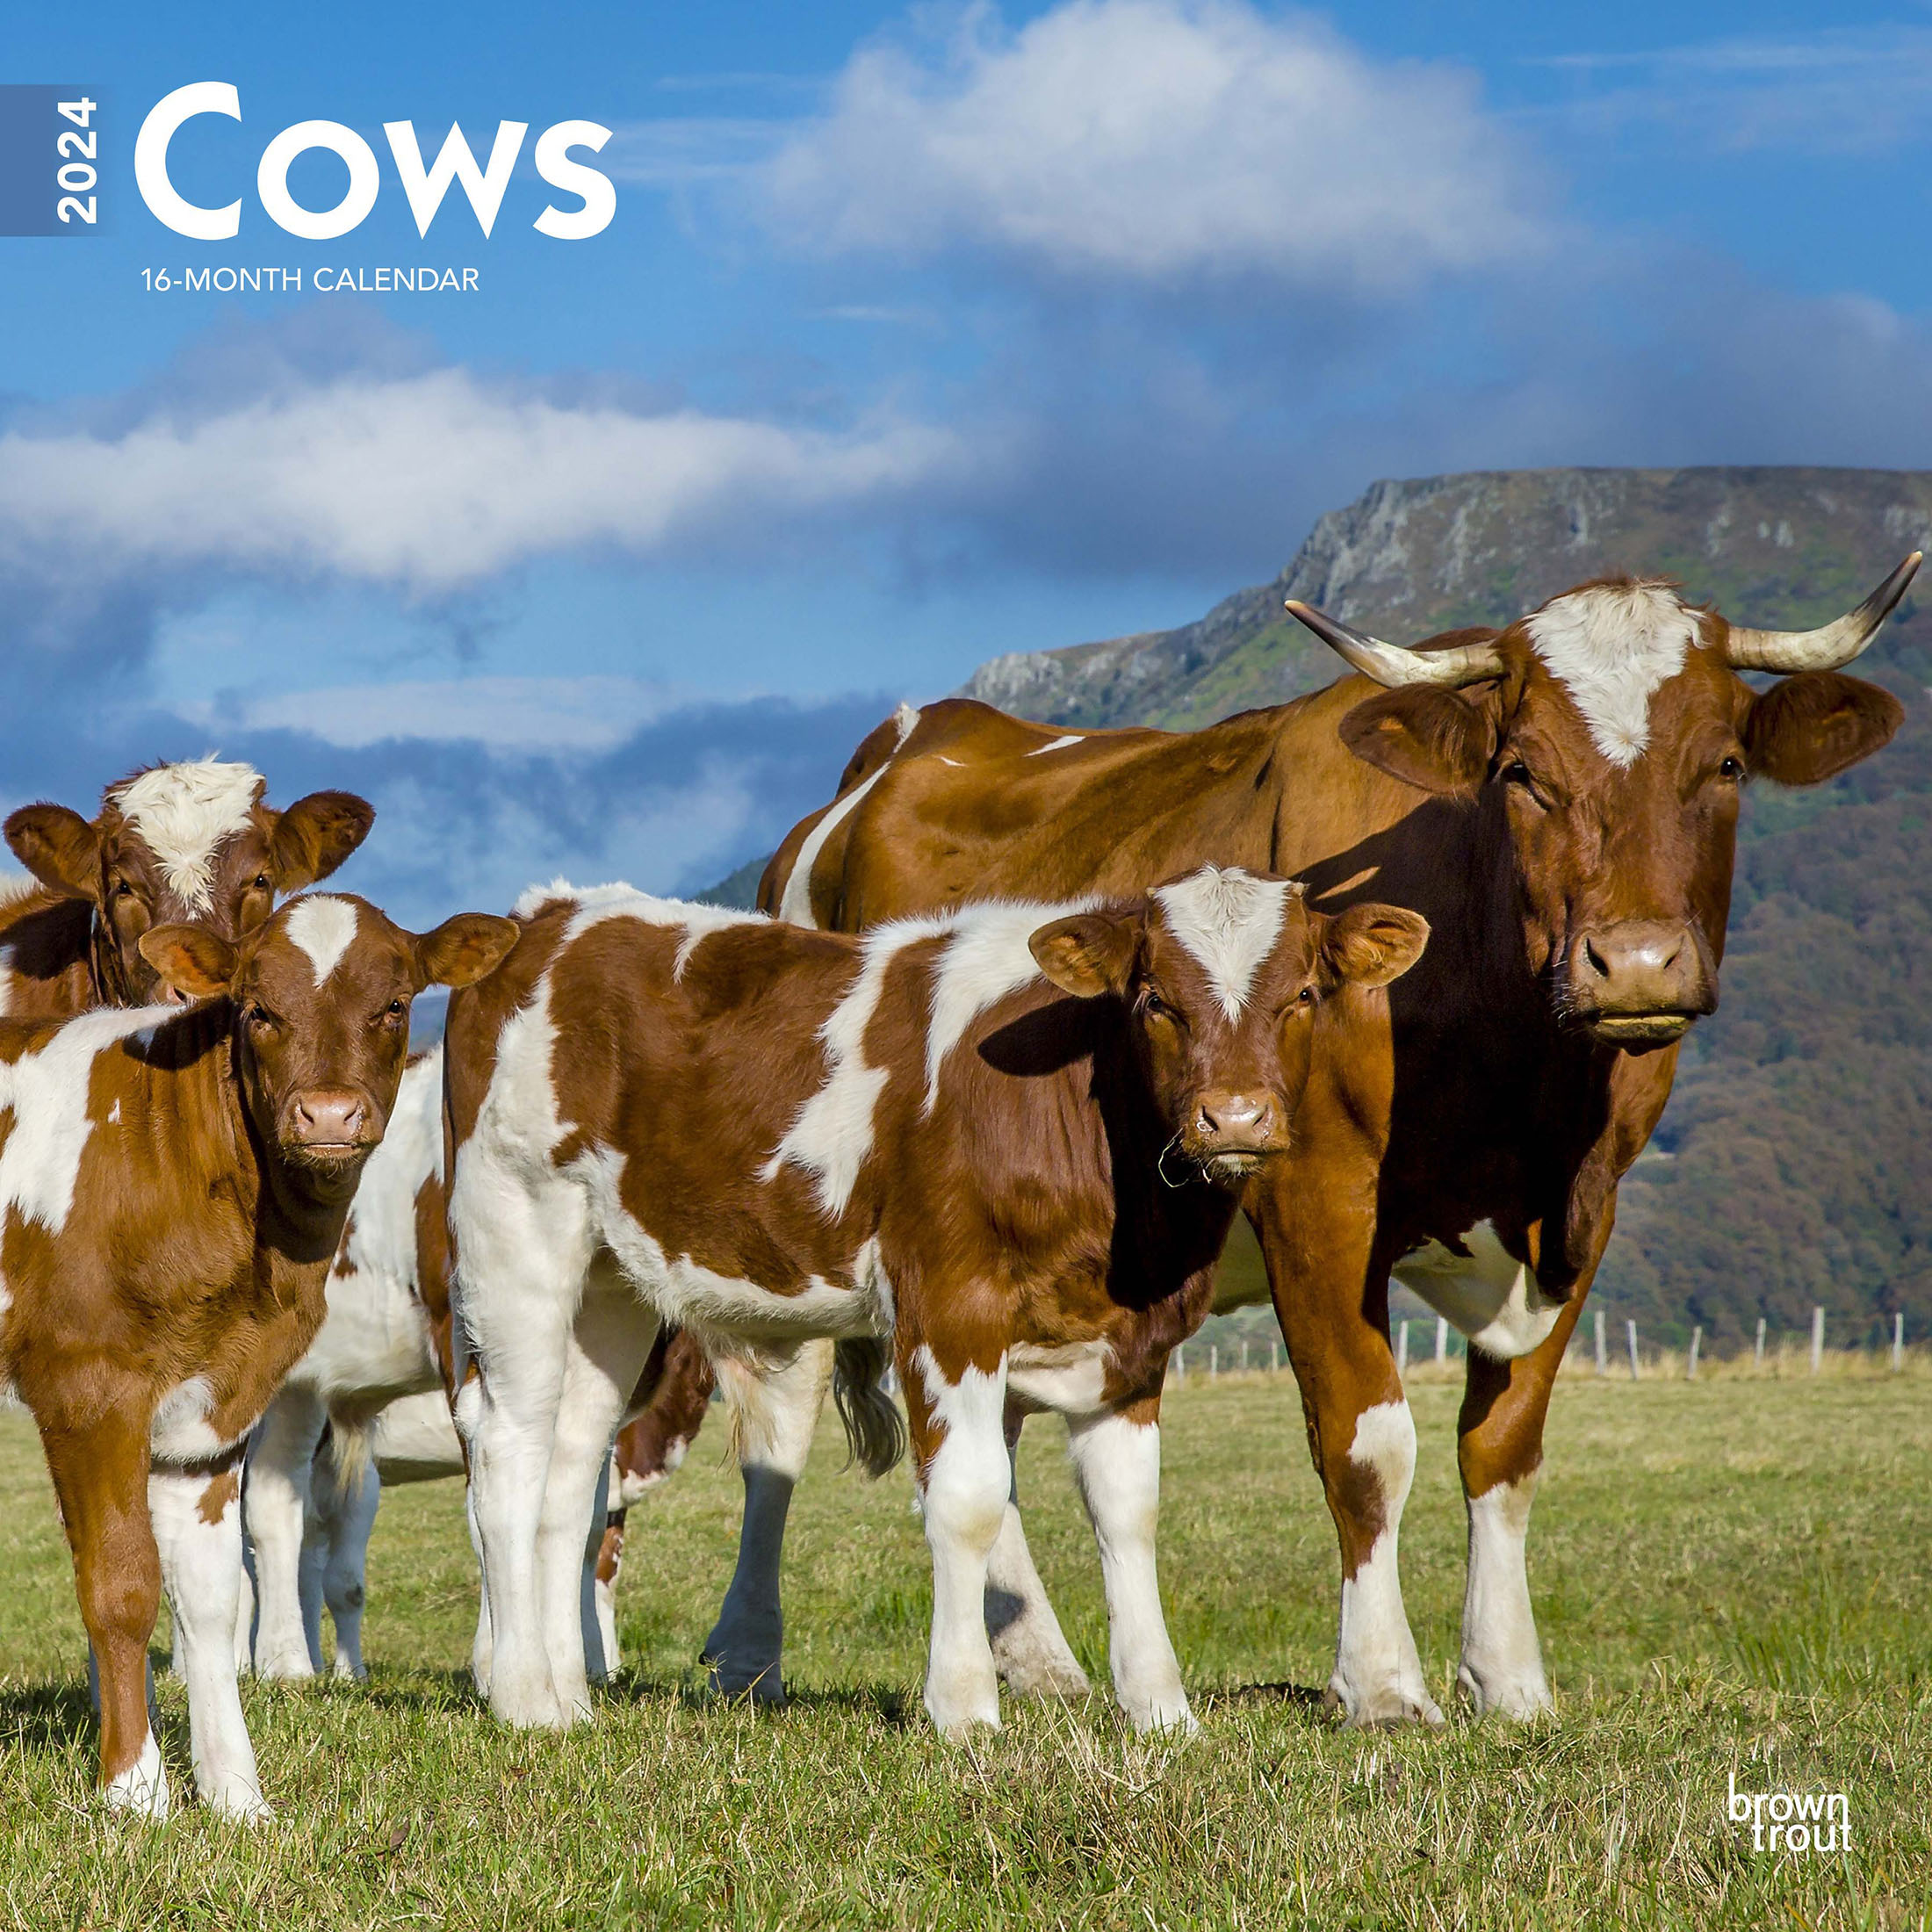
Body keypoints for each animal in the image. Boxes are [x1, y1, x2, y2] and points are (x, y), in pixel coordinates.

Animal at [0, 893, 515, 1816]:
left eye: (394, 1005)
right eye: (257, 1010)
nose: (329, 1116)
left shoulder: (214, 1406)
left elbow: (212, 1601)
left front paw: (237, 1797)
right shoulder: (88, 1385)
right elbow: (120, 1587)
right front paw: (135, 1793)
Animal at [444, 868, 1427, 1735]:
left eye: (1304, 992)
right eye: (1154, 1000)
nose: (1234, 1118)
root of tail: (546, 915)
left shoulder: (1132, 1344)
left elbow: (1129, 1513)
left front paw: (1161, 1712)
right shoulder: (950, 1308)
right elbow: (968, 1499)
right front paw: (963, 1708)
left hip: (609, 1280)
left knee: (571, 1465)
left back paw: (569, 1695)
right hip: (515, 1226)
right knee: (506, 1449)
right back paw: (524, 1699)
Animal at [748, 557, 1915, 1725]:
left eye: (1725, 763)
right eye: (1521, 771)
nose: (1633, 965)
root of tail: (905, 740)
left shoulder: (1588, 1210)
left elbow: (1504, 1445)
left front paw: (1507, 1677)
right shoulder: (1315, 1195)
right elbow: (1365, 1440)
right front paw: (1383, 1681)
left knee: (993, 1430)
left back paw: (1039, 1663)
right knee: (780, 1424)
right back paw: (749, 1659)